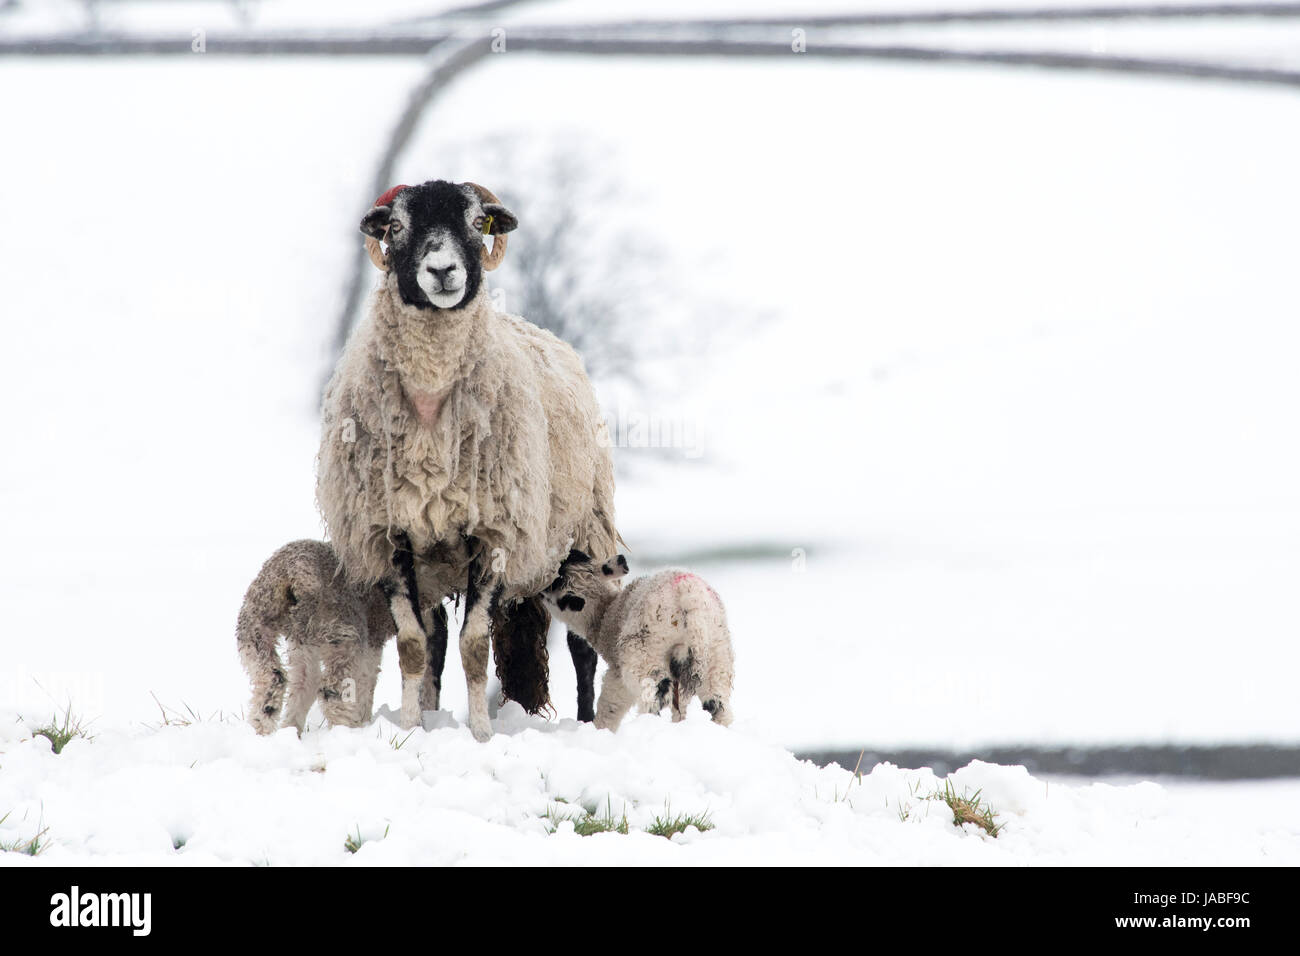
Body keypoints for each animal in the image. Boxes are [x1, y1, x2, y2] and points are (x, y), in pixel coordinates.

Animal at [236, 539, 400, 734]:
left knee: (278, 680)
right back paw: (341, 731)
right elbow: (366, 682)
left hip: (257, 628)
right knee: (332, 691)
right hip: (342, 633)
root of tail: (297, 573)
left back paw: (270, 730)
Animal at [317, 179, 620, 740]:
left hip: (587, 533)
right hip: (435, 563)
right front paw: (411, 729)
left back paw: (588, 723)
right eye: (396, 226)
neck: (432, 400)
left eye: (478, 222)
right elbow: (414, 646)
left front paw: (480, 734)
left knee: (583, 646)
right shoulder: (388, 537)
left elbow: (475, 647)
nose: (442, 271)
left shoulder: (495, 534)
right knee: (435, 641)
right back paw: (431, 712)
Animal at [540, 551, 735, 731]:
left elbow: (610, 705)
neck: (606, 615)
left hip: (644, 653)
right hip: (716, 655)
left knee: (653, 698)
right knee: (718, 705)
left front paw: (601, 729)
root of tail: (688, 595)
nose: (539, 590)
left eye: (554, 586)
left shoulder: (617, 672)